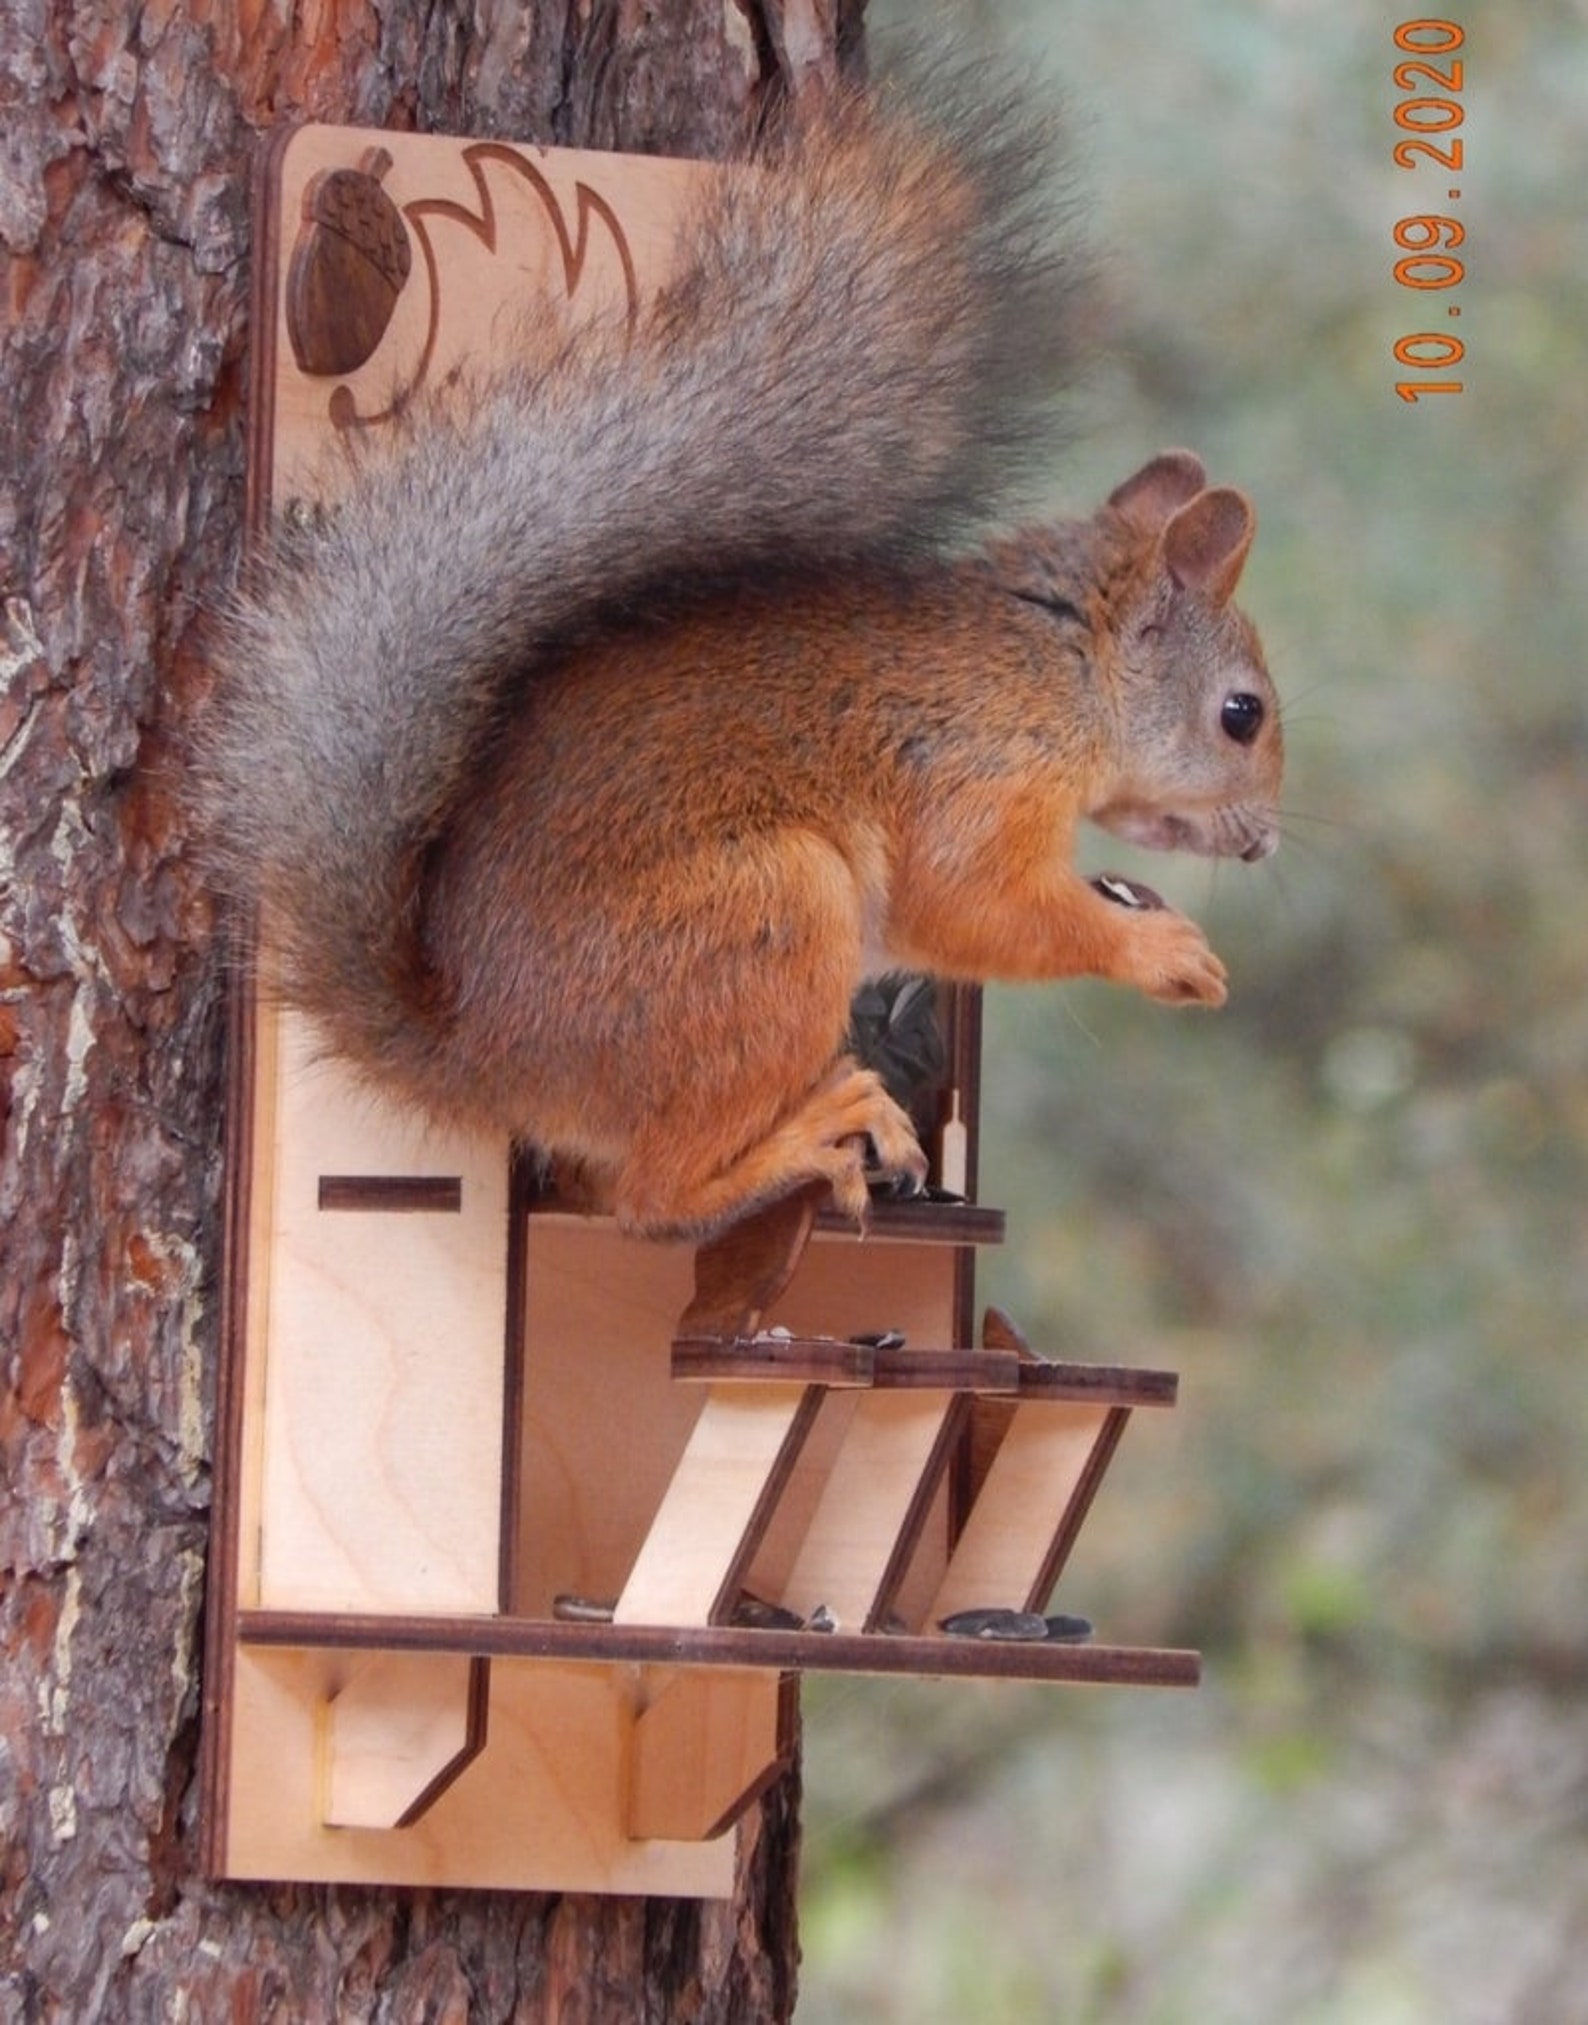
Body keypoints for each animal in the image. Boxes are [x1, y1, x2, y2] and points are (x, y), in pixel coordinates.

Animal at [205, 52, 1283, 1243]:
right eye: (1241, 715)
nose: (1265, 841)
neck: (1058, 668)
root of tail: (480, 1056)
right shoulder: (976, 776)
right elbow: (975, 907)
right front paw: (1157, 950)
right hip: (766, 916)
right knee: (652, 1197)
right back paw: (806, 1134)